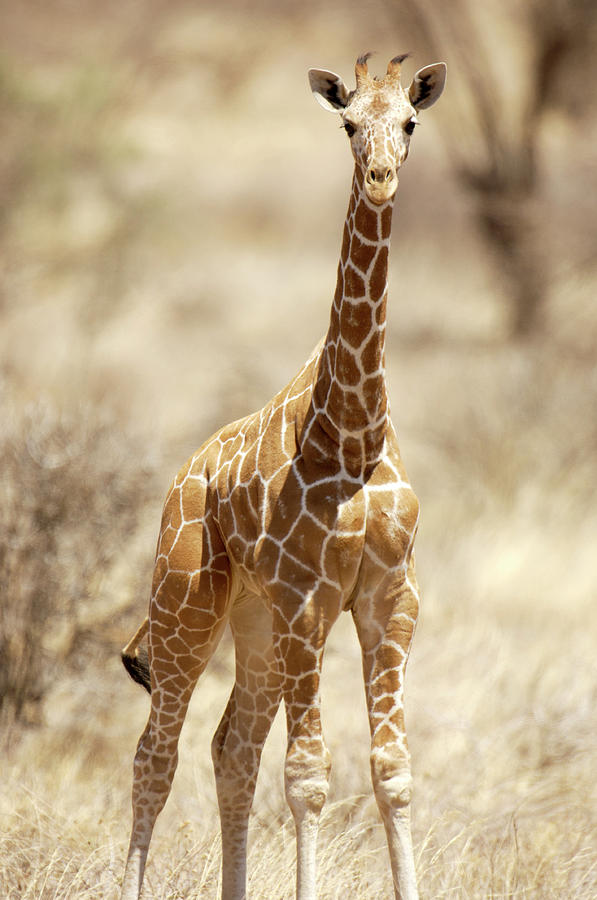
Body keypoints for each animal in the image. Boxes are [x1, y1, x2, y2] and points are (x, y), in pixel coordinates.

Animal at [120, 53, 446, 900]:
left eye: (408, 121)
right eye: (346, 123)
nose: (380, 177)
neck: (353, 433)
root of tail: (183, 478)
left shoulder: (390, 597)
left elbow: (392, 768)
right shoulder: (308, 598)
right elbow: (308, 776)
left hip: (255, 626)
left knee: (230, 747)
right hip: (185, 605)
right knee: (155, 757)